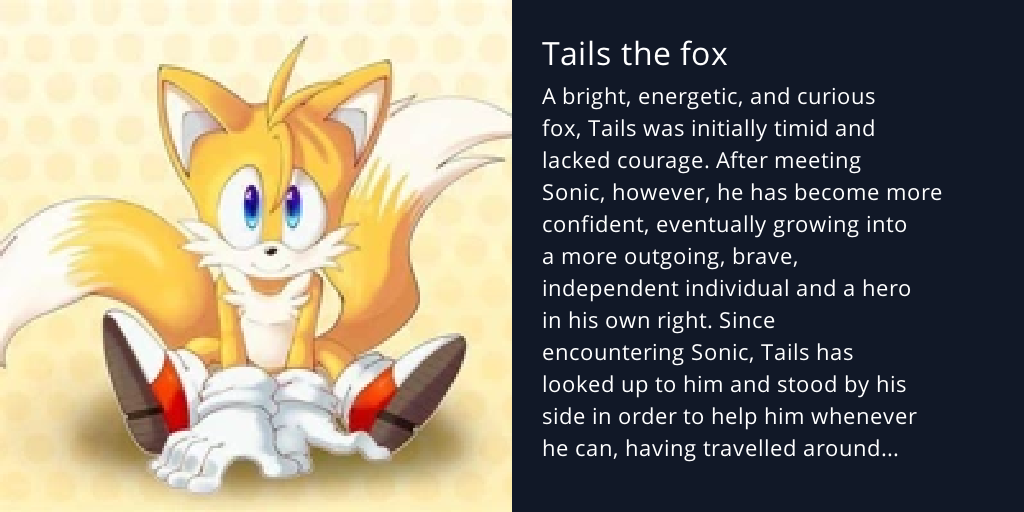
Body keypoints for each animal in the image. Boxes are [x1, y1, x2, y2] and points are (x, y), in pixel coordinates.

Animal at [0, 39, 511, 492]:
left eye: (295, 207)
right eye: (247, 204)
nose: (270, 251)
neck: (268, 288)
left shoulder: (308, 312)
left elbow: (303, 359)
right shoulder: (228, 312)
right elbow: (232, 362)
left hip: (330, 359)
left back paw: (402, 399)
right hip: (203, 350)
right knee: (196, 363)